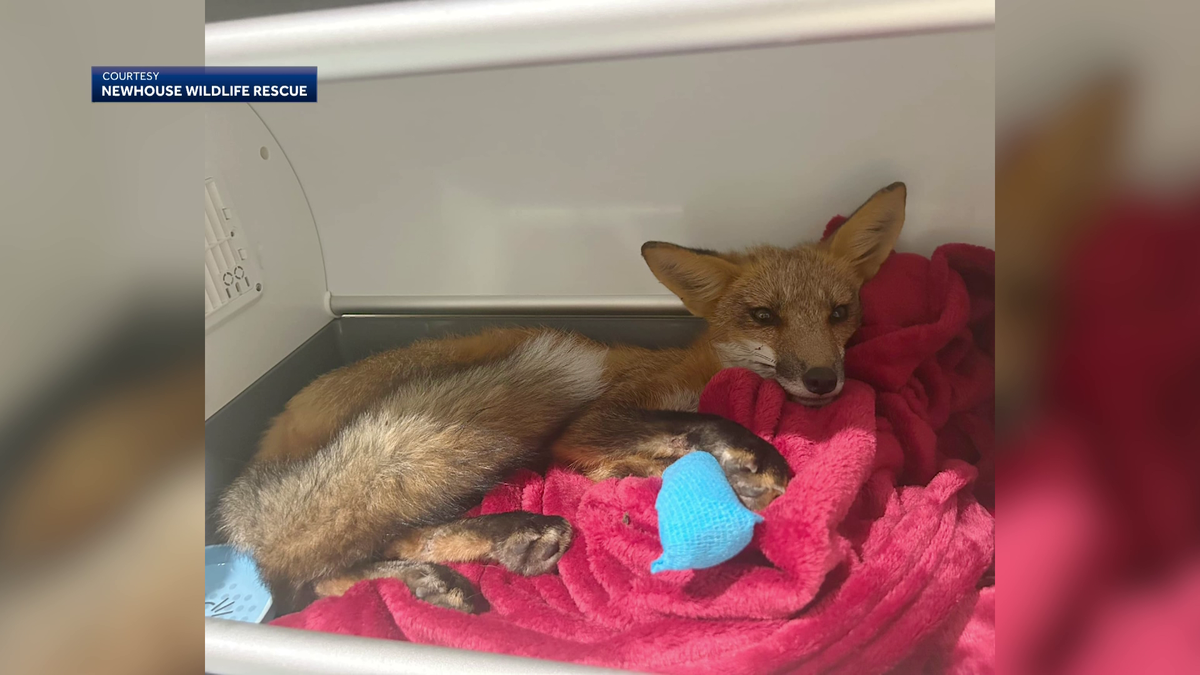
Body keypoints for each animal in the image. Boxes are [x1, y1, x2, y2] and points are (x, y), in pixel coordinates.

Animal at [217, 182, 907, 614]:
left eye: (840, 312)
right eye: (764, 316)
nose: (821, 380)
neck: (693, 366)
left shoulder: (596, 447)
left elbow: (665, 456)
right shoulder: (589, 425)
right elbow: (702, 425)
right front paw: (755, 462)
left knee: (351, 560)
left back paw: (488, 553)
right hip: (452, 451)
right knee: (317, 570)